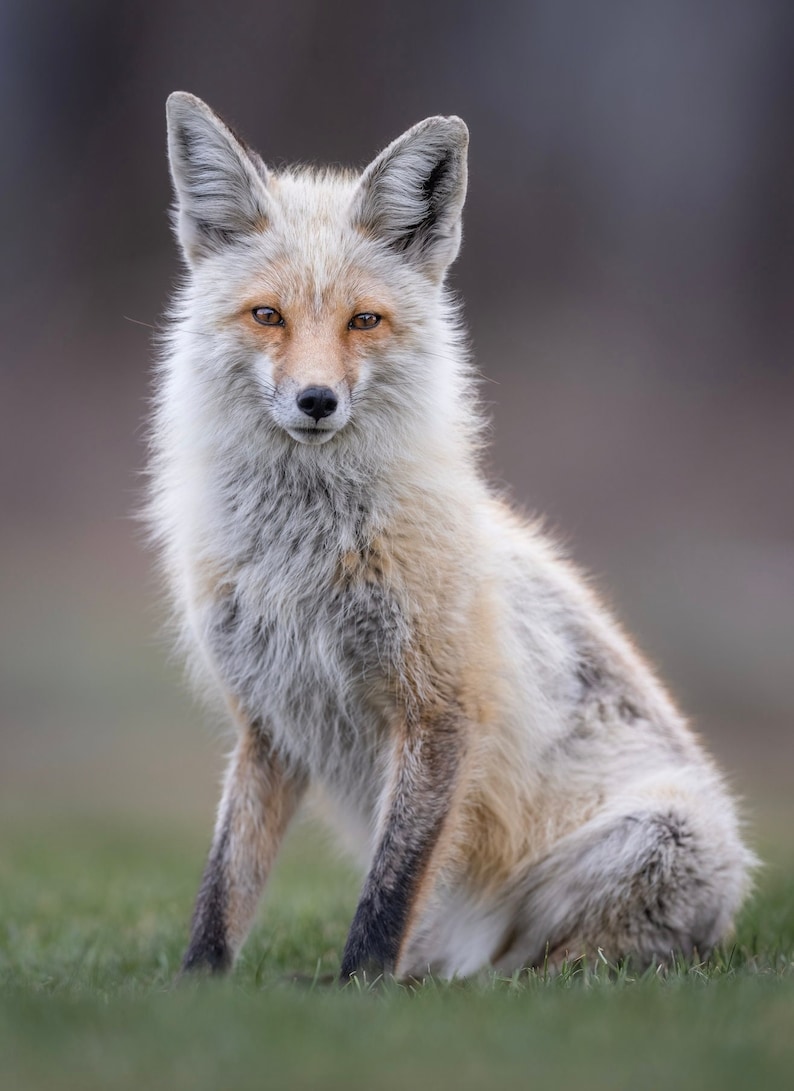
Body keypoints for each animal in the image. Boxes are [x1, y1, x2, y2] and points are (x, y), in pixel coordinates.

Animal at [150, 91, 755, 981]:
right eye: (268, 316)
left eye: (364, 320)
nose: (317, 400)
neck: (304, 554)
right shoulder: (267, 723)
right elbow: (223, 886)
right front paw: (197, 987)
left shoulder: (440, 708)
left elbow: (389, 890)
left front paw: (355, 990)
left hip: (660, 837)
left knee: (546, 969)